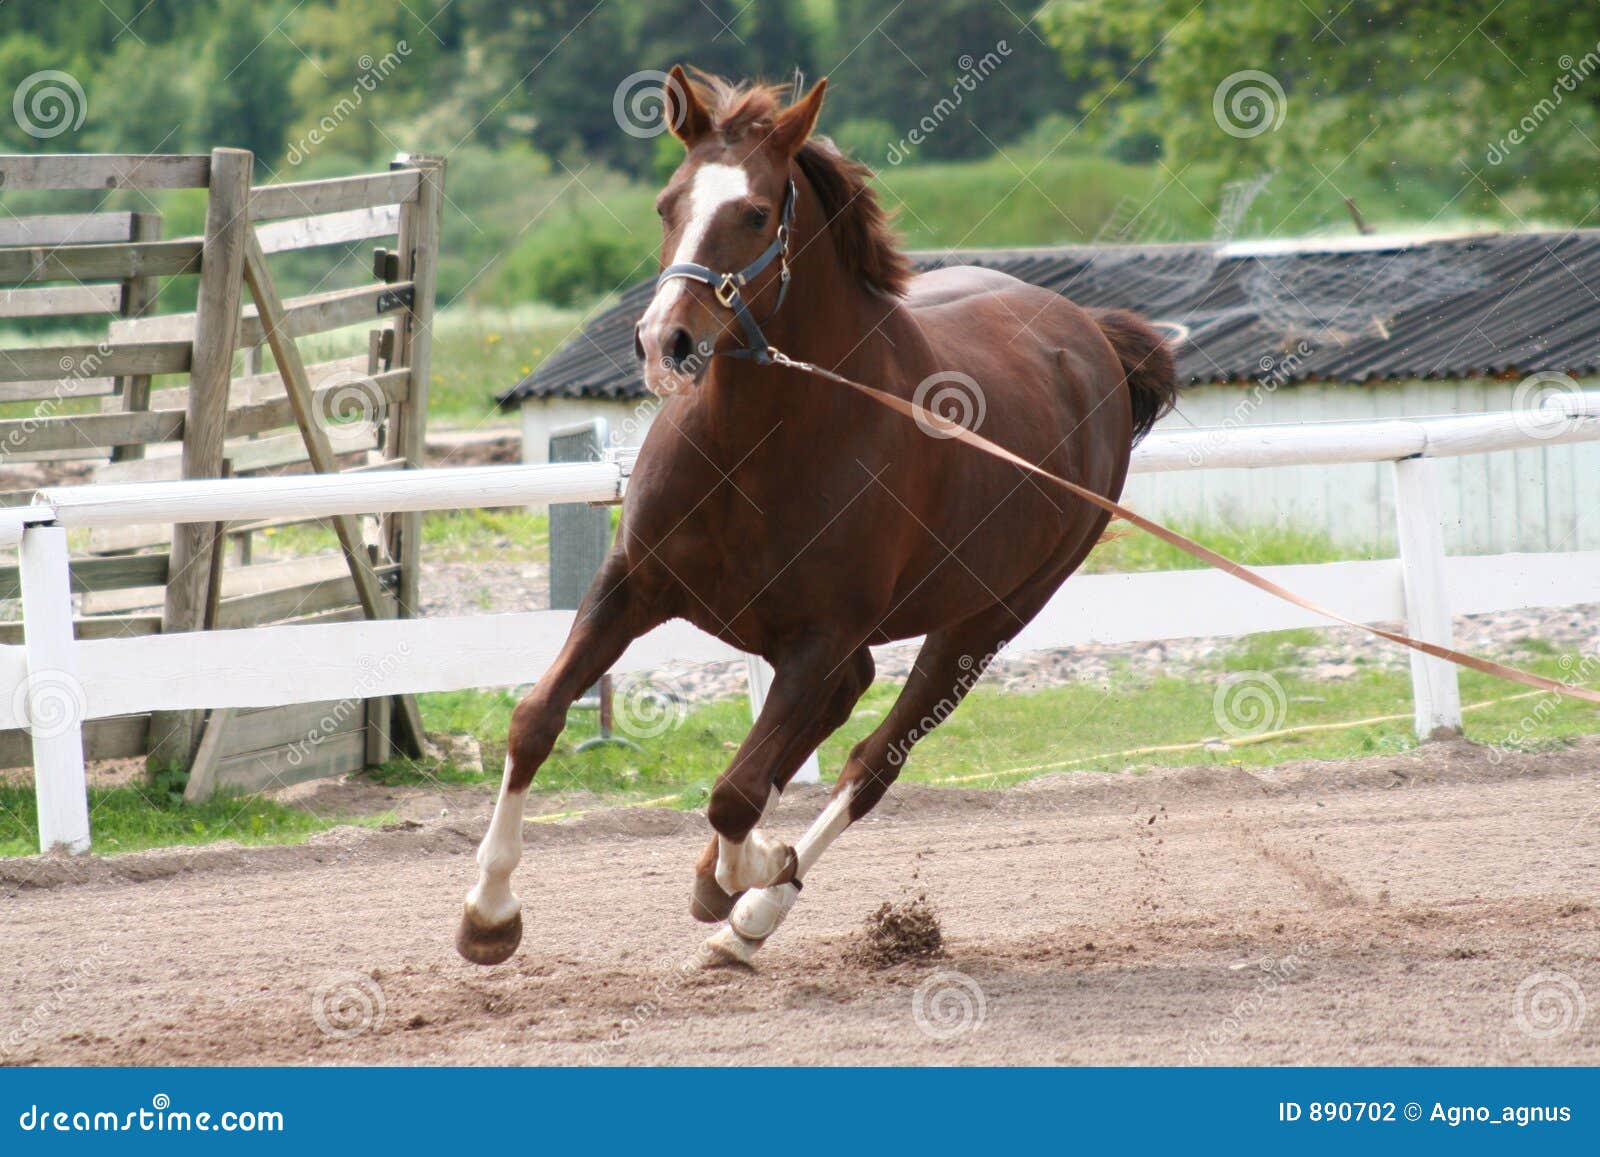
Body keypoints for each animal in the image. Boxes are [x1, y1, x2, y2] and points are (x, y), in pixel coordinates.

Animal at [456, 67, 1178, 967]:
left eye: (756, 212)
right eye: (667, 202)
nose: (665, 342)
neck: (757, 443)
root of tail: (1096, 340)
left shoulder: (819, 636)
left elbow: (736, 793)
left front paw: (758, 871)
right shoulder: (631, 586)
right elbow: (535, 720)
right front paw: (489, 912)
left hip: (986, 620)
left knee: (870, 762)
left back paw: (750, 918)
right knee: (843, 705)